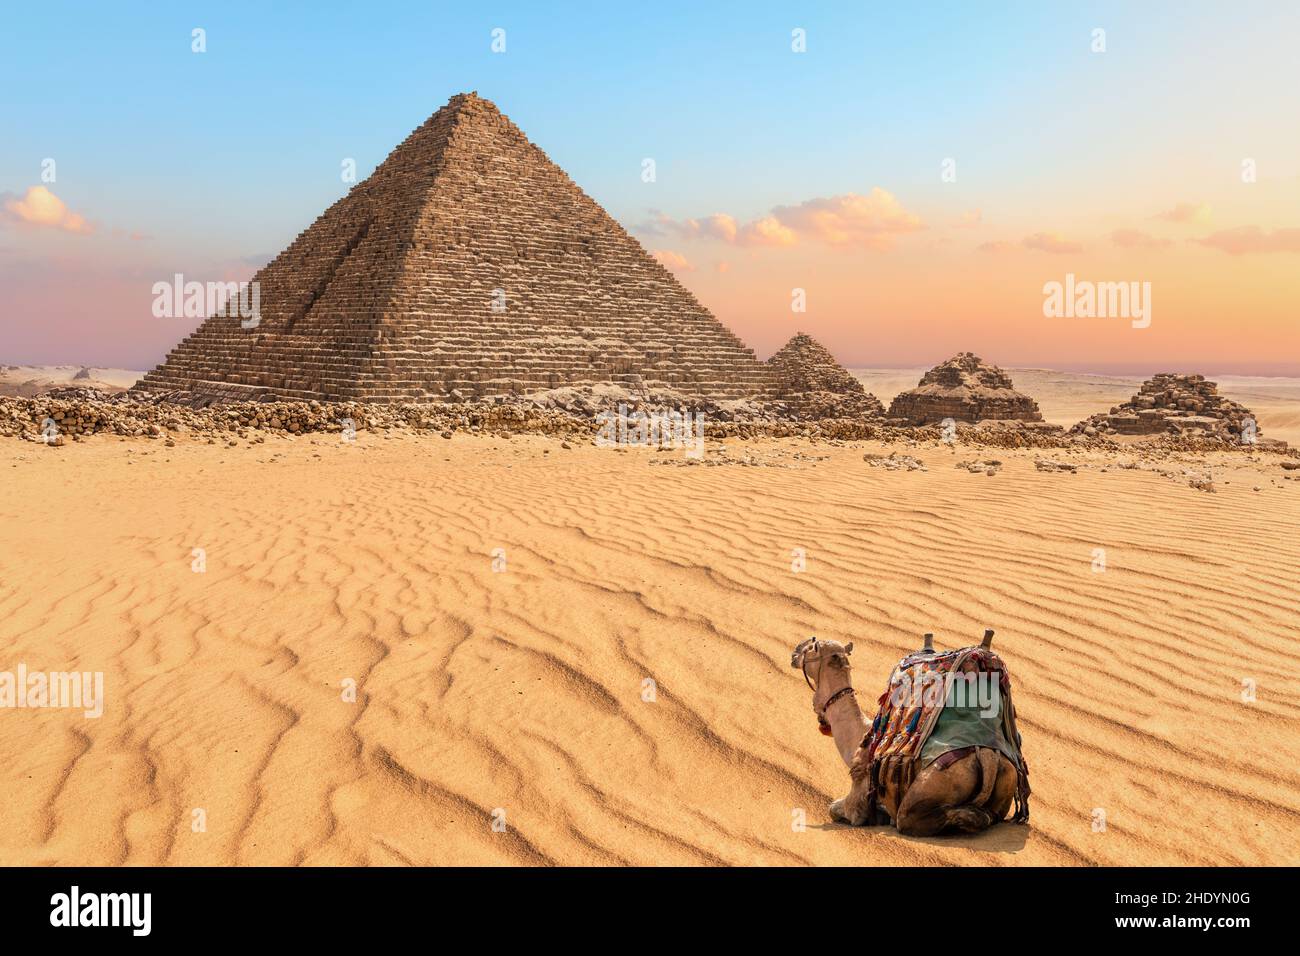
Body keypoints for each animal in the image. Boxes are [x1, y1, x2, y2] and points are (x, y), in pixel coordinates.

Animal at [791, 635, 1027, 836]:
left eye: (812, 646)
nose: (794, 653)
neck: (861, 738)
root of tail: (988, 757)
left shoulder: (858, 798)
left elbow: (834, 809)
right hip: (1007, 779)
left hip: (933, 785)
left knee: (911, 818)